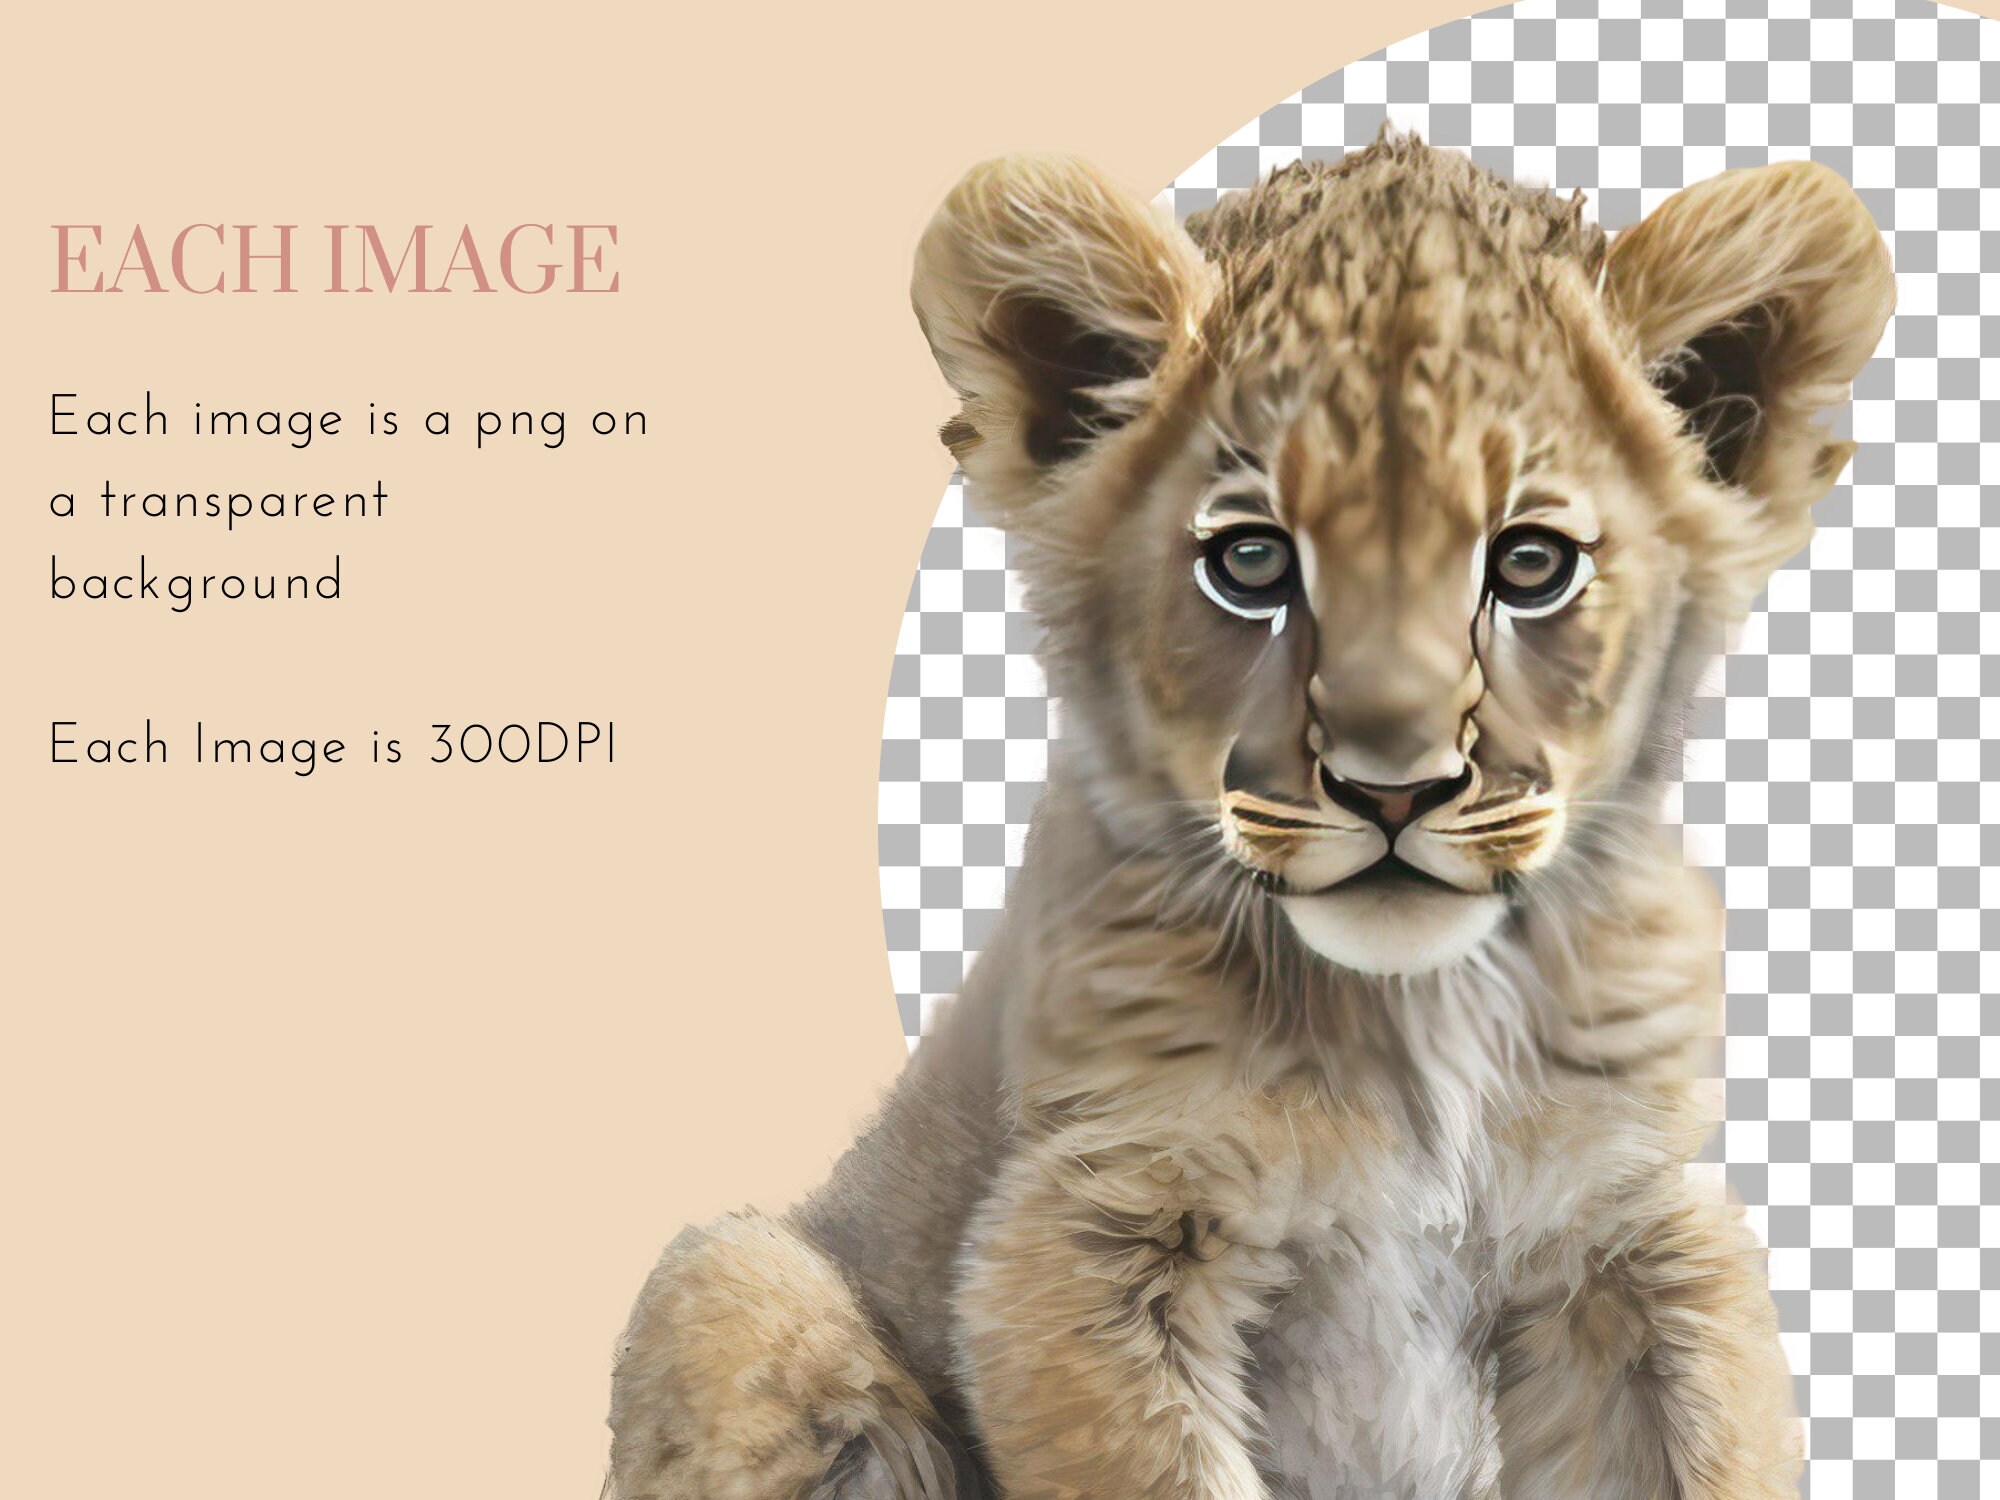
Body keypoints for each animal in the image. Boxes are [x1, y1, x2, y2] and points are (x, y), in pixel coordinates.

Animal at [604, 131, 1893, 1500]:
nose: (1393, 786)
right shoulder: (1084, 1228)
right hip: (732, 1280)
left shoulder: (1625, 1230)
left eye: (1530, 564)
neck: (1420, 1022)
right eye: (1253, 562)